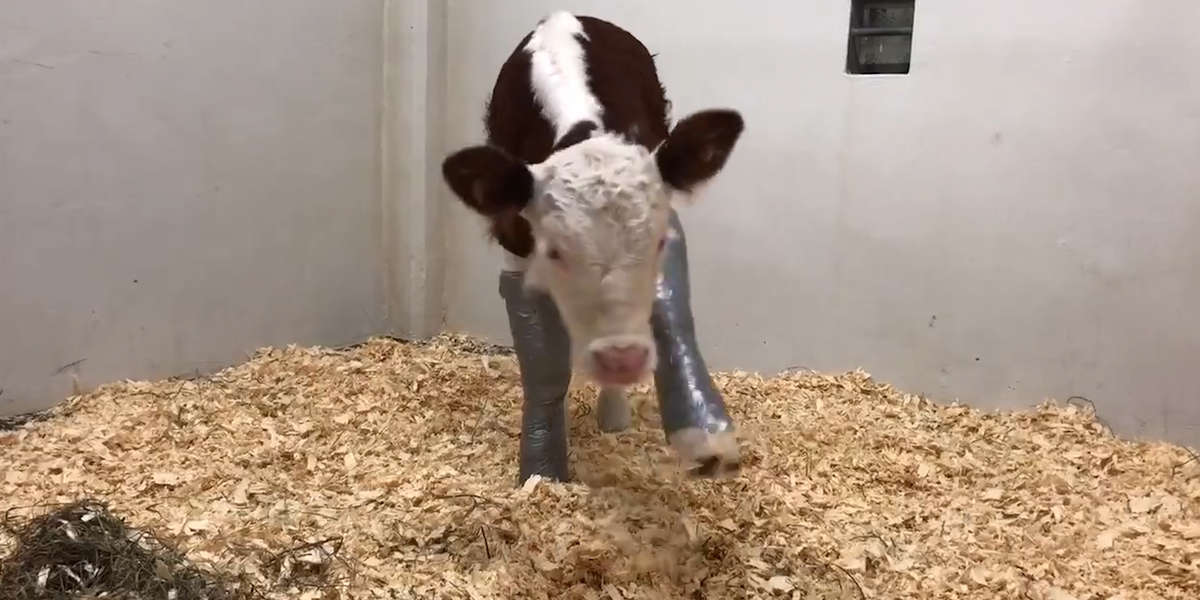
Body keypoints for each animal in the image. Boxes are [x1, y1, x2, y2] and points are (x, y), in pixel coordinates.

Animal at [441, 11, 744, 485]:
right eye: (555, 252)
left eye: (658, 241)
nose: (622, 359)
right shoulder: (515, 237)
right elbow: (542, 360)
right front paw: (543, 467)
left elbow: (669, 308)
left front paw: (703, 434)